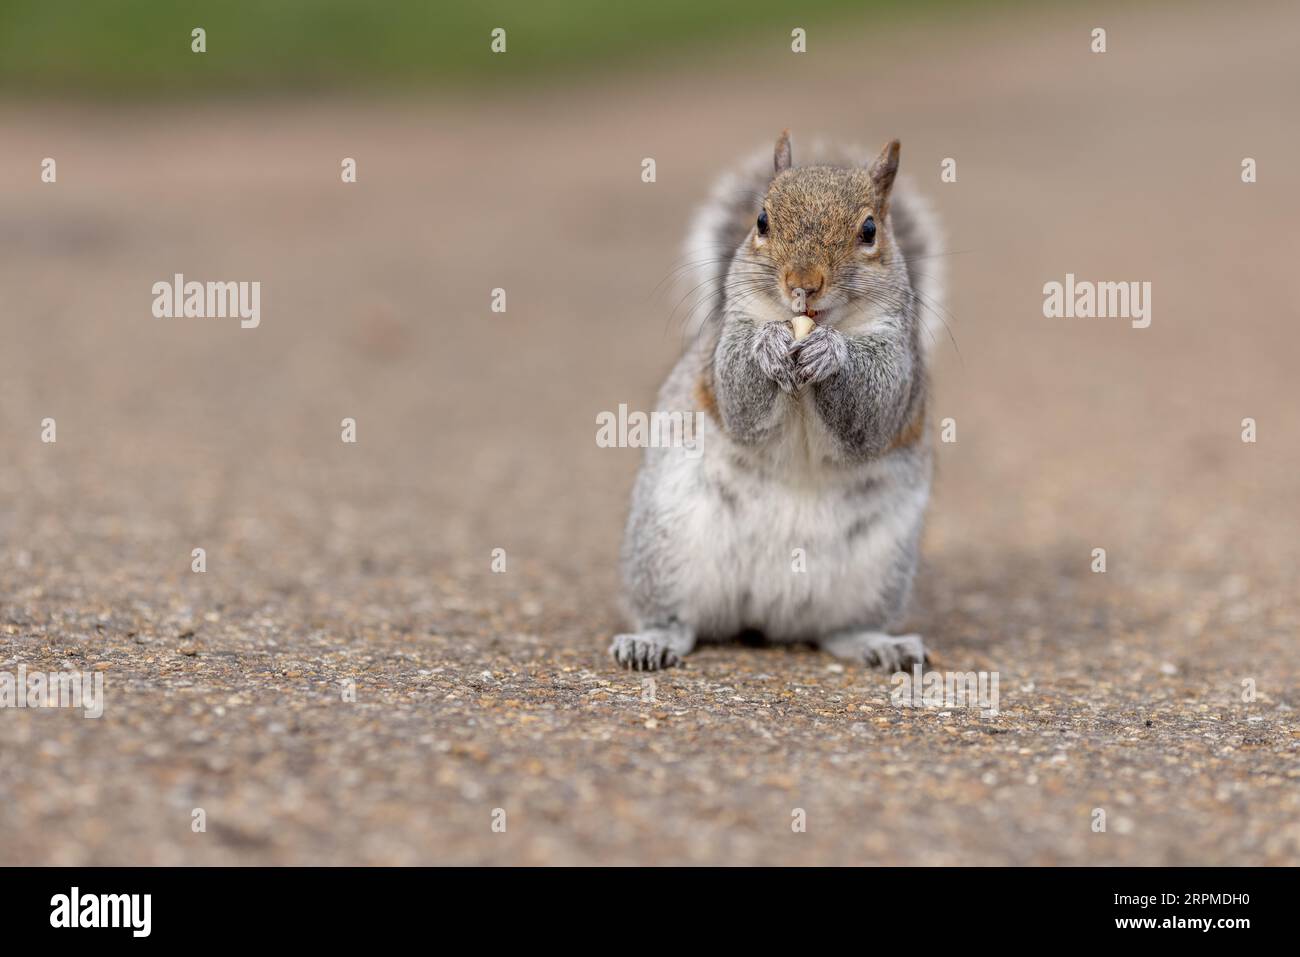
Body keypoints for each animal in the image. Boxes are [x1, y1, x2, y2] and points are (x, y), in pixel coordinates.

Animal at [610, 130, 946, 672]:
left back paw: (880, 645)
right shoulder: (724, 344)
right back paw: (651, 641)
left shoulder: (901, 365)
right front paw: (766, 345)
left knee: (839, 631)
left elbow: (872, 408)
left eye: (869, 229)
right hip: (668, 544)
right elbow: (736, 394)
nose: (802, 285)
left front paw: (832, 353)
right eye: (762, 220)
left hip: (877, 572)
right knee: (678, 619)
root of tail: (768, 615)